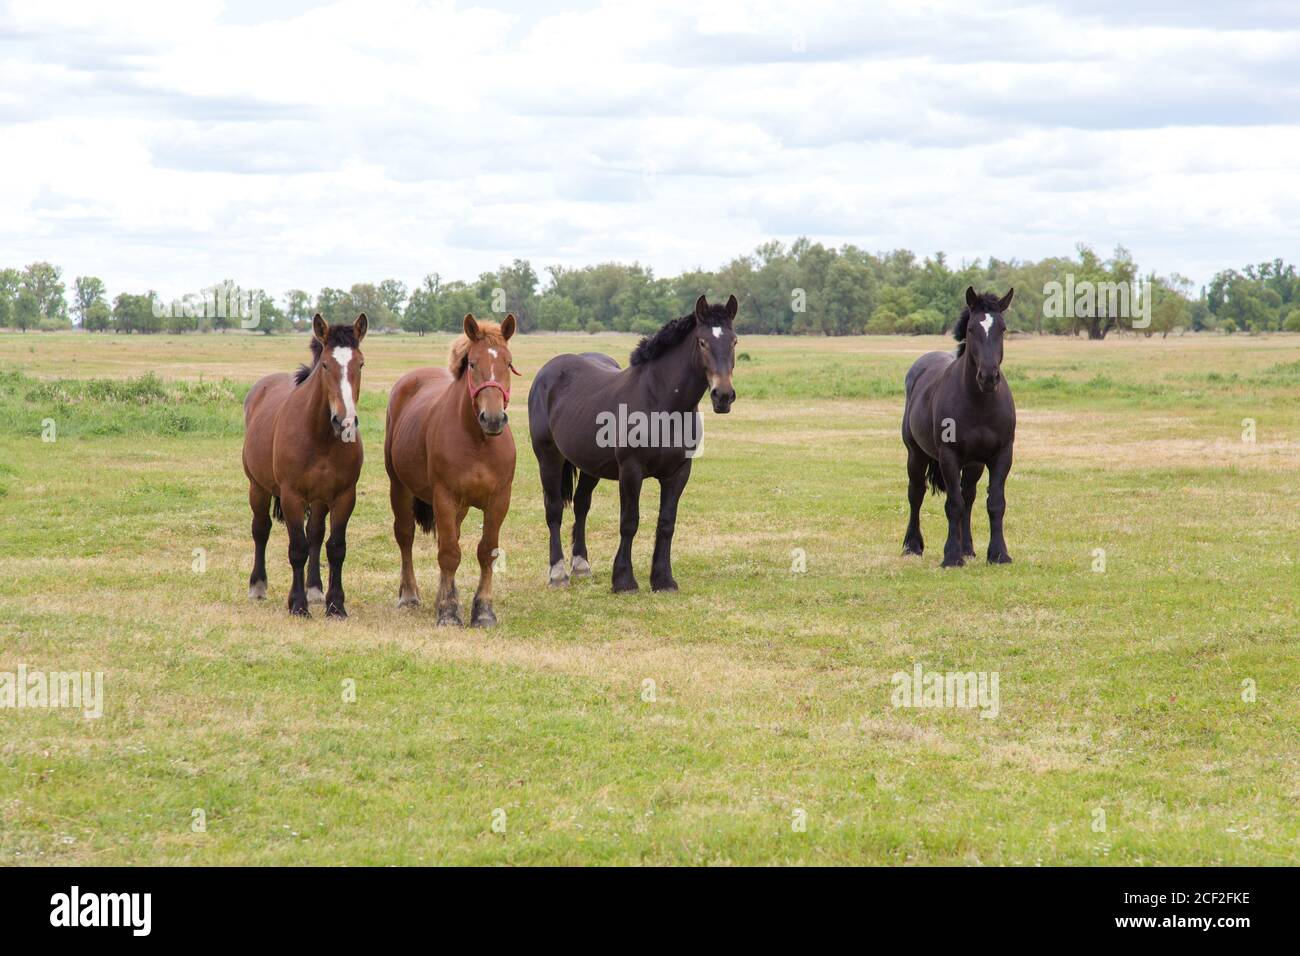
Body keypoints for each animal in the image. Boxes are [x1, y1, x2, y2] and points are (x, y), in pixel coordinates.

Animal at [242, 312, 368, 617]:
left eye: (360, 363)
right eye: (325, 365)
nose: (344, 422)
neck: (320, 436)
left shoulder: (344, 496)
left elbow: (335, 547)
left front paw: (335, 605)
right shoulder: (291, 496)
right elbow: (297, 547)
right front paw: (298, 605)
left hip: (320, 499)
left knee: (315, 534)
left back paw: (314, 589)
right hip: (258, 488)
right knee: (261, 529)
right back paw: (258, 585)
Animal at [384, 313, 518, 627]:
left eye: (508, 363)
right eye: (472, 364)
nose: (493, 419)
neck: (478, 441)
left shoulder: (499, 500)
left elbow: (485, 551)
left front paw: (483, 611)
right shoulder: (444, 497)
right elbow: (448, 553)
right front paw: (447, 612)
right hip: (399, 487)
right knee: (405, 535)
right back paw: (409, 595)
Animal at [528, 294, 738, 593]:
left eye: (734, 341)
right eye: (702, 342)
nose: (723, 396)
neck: (660, 402)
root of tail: (548, 371)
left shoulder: (679, 473)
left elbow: (667, 523)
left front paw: (663, 580)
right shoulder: (631, 470)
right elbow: (629, 522)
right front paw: (624, 580)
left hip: (590, 466)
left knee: (581, 505)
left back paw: (581, 566)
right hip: (548, 457)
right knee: (554, 509)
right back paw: (558, 574)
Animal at [901, 287, 1017, 567]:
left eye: (1002, 328)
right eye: (972, 329)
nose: (989, 377)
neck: (979, 403)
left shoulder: (1002, 455)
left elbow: (995, 502)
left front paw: (999, 554)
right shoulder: (949, 456)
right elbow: (953, 504)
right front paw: (951, 556)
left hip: (973, 464)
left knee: (969, 496)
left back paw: (968, 548)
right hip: (916, 455)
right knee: (916, 493)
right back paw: (912, 545)